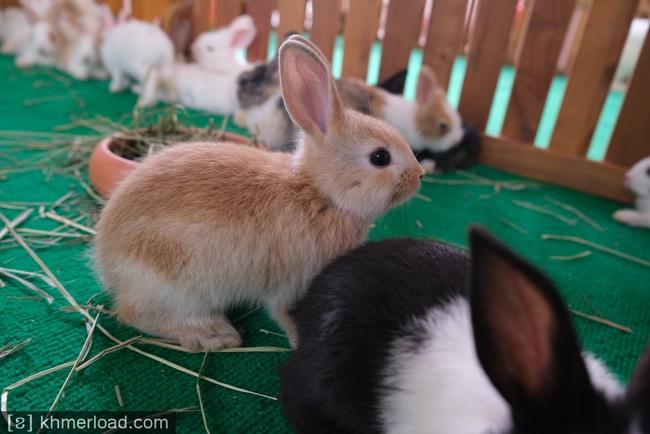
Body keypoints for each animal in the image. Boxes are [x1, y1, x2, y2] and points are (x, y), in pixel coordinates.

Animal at [94, 35, 424, 352]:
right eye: (380, 157)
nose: (419, 175)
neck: (318, 193)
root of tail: (106, 263)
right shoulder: (286, 280)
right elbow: (279, 310)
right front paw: (297, 337)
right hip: (173, 286)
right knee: (135, 315)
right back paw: (212, 334)